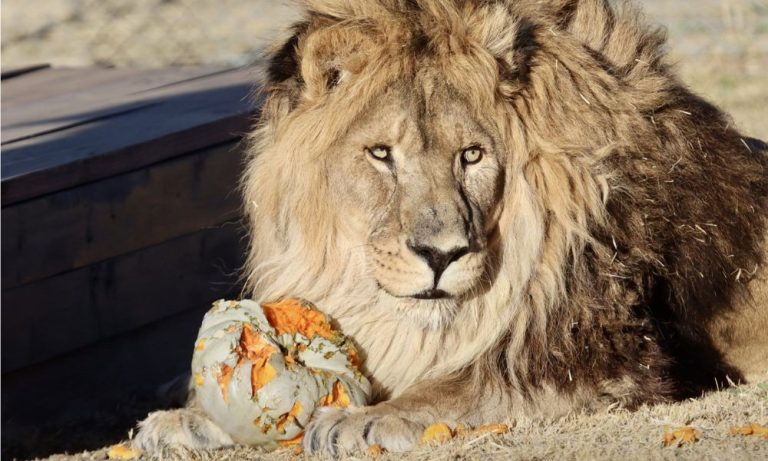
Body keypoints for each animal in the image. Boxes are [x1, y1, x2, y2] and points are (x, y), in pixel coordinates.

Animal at [134, 0, 768, 455]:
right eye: (381, 154)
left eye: (471, 155)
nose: (441, 255)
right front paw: (183, 419)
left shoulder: (608, 360)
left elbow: (468, 384)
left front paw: (361, 421)